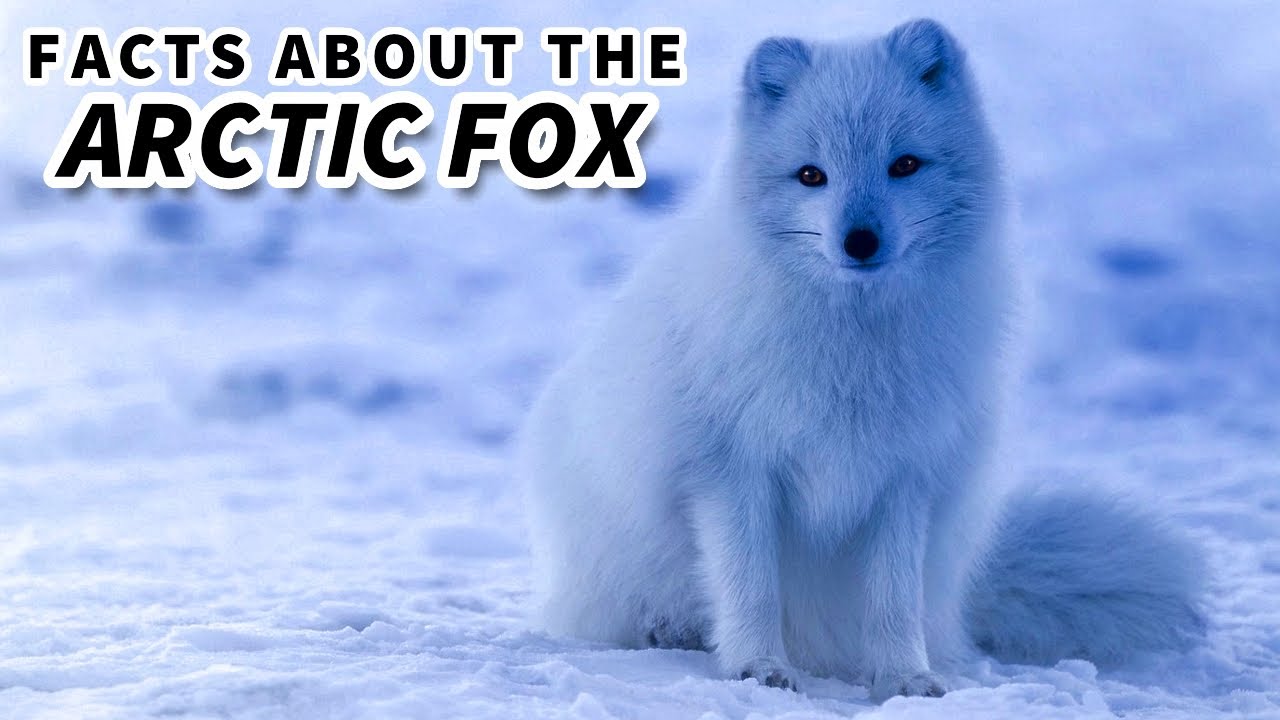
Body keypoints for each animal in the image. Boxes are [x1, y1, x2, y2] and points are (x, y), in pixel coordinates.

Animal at [518, 19, 1206, 701]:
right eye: (810, 175)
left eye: (904, 164)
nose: (860, 240)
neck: (854, 349)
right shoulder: (729, 470)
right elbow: (750, 586)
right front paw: (758, 668)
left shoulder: (905, 477)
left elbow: (892, 601)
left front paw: (905, 678)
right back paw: (669, 630)